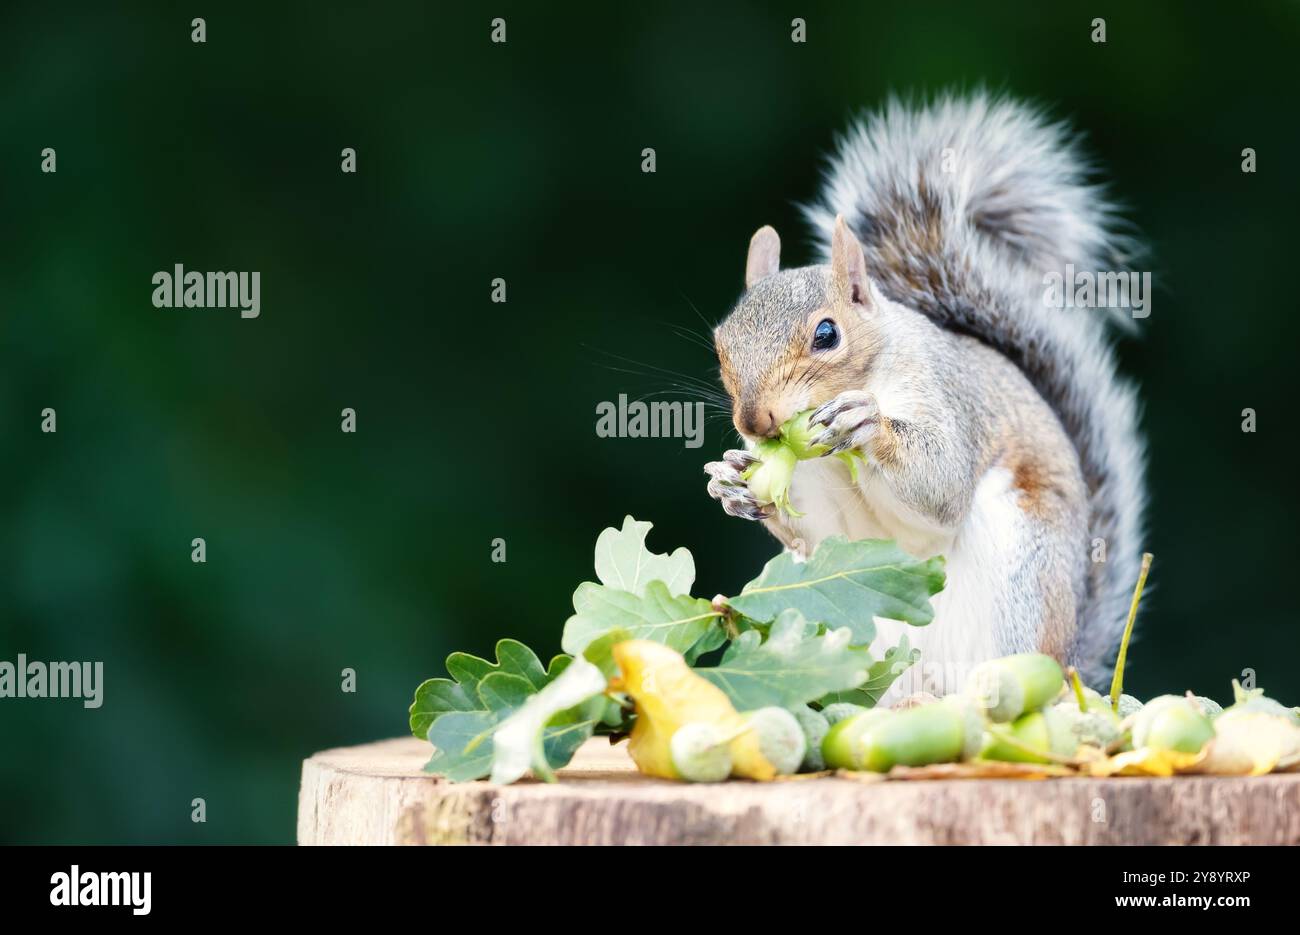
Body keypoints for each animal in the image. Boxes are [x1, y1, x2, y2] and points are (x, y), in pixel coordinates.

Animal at [705, 93, 1145, 694]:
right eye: (721, 343)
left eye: (827, 334)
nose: (755, 422)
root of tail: (1074, 657)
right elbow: (819, 531)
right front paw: (730, 479)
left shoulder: (945, 394)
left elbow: (942, 486)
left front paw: (868, 425)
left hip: (1023, 584)